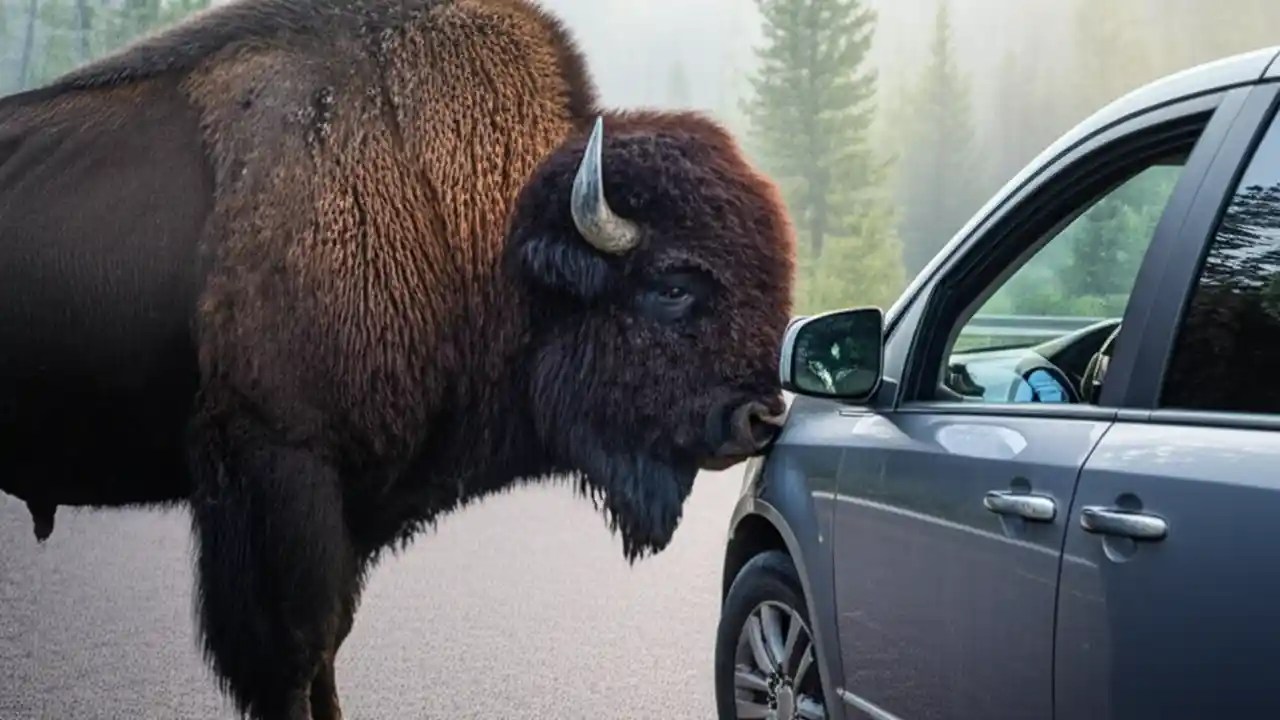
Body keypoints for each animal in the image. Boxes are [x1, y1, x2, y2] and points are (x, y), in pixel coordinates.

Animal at [0, 0, 796, 717]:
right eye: (673, 287)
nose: (760, 418)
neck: (464, 223)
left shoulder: (353, 502)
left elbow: (329, 643)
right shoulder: (278, 464)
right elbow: (293, 652)